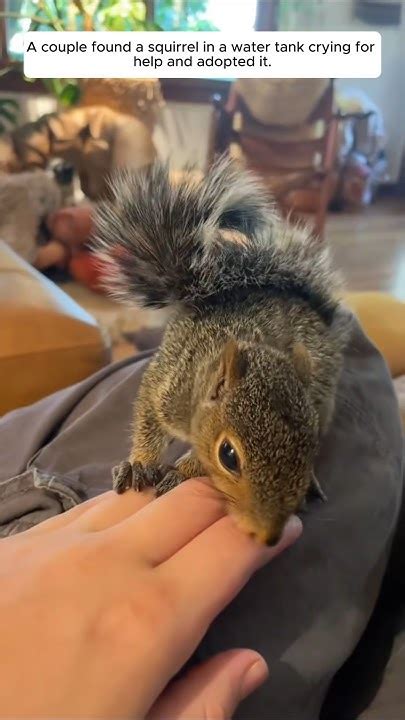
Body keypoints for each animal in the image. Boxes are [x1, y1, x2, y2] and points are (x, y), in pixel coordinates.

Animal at [93, 158, 349, 545]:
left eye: (310, 449)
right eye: (228, 456)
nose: (269, 535)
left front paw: (182, 471)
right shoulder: (166, 385)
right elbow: (147, 416)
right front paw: (140, 463)